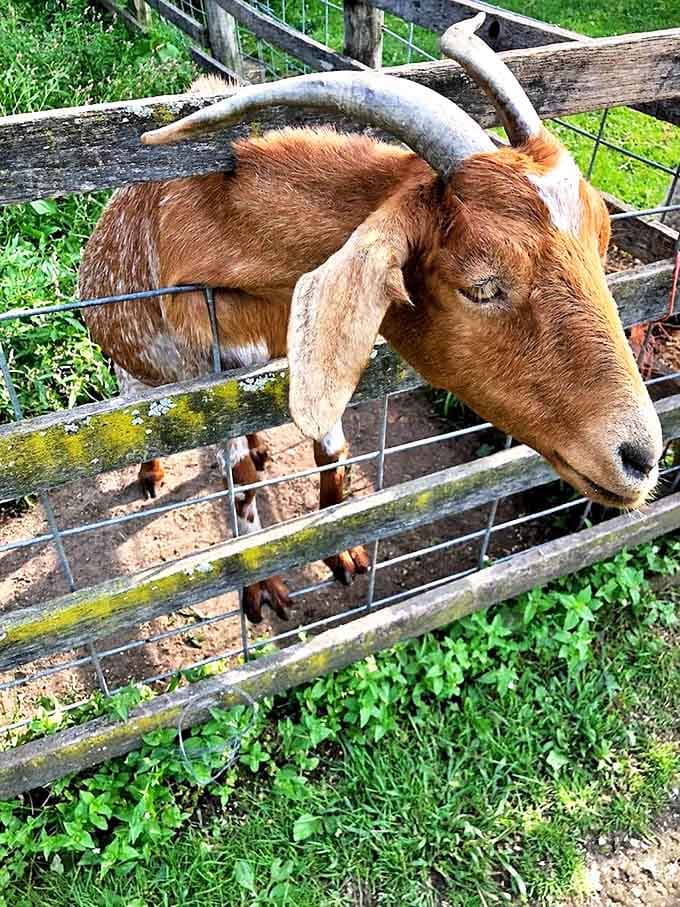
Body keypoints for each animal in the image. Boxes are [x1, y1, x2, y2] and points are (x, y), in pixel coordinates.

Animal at [80, 14, 662, 624]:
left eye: (604, 240)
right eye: (481, 286)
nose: (641, 458)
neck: (220, 228)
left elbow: (331, 450)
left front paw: (342, 550)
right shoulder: (205, 380)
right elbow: (238, 482)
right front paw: (262, 589)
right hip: (132, 369)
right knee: (134, 412)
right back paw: (151, 473)